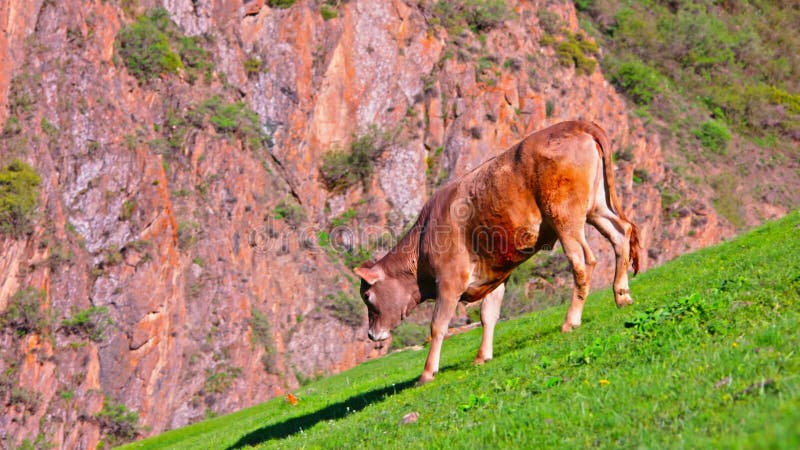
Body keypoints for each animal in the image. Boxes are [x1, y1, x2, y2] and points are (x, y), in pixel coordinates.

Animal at [354, 120, 639, 384]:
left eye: (367, 296)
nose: (371, 335)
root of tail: (576, 124)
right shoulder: (496, 272)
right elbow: (488, 316)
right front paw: (483, 356)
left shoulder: (450, 280)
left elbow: (437, 326)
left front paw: (427, 373)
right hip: (595, 207)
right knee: (621, 234)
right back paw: (622, 295)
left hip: (564, 216)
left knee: (584, 261)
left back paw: (571, 321)